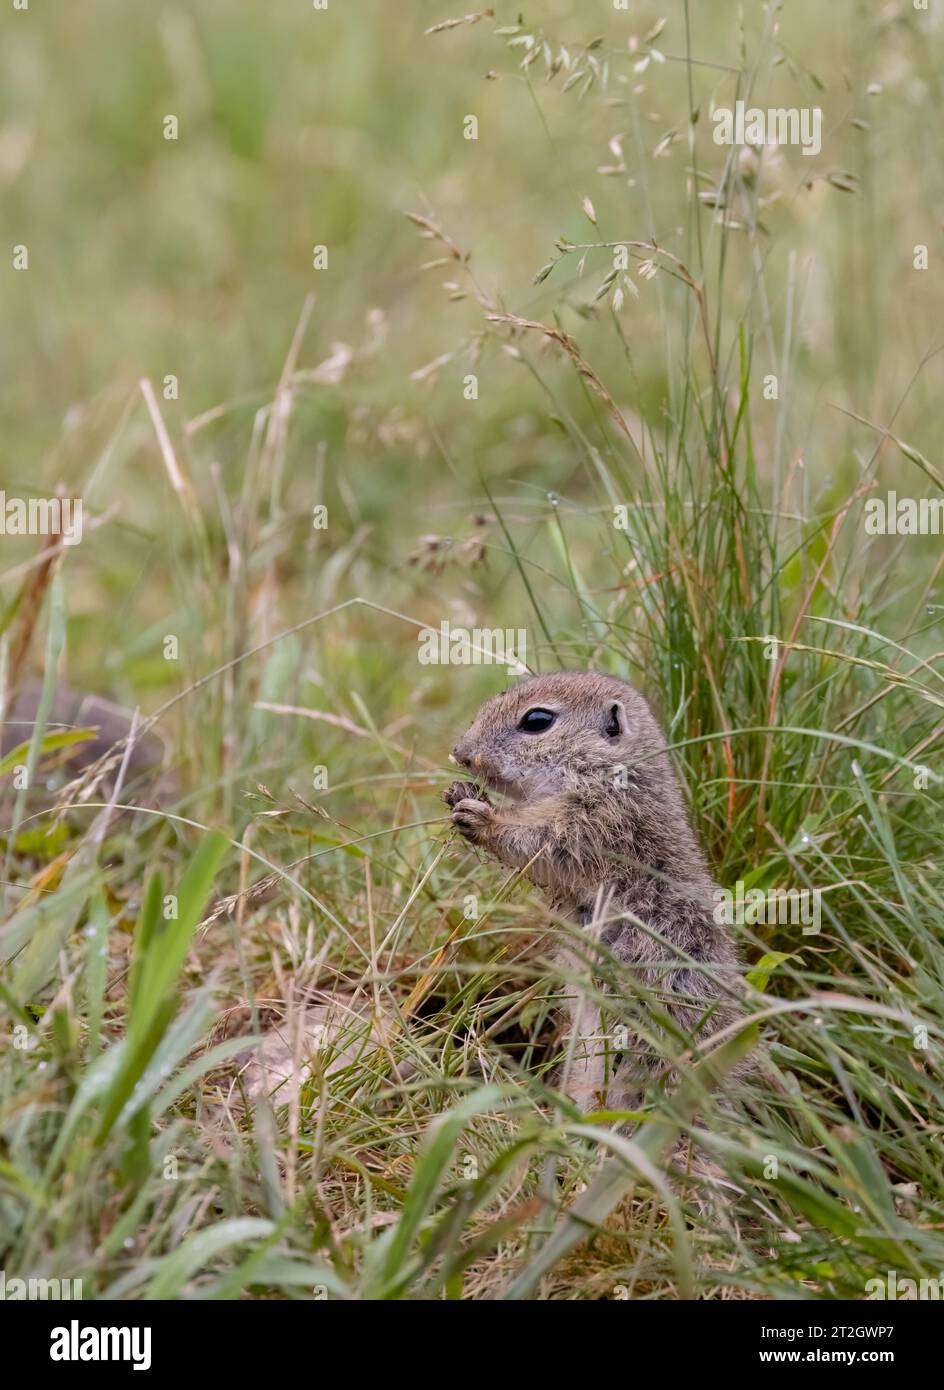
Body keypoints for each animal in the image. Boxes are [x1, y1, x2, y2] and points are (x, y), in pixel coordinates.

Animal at [444, 671, 745, 1111]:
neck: (614, 771)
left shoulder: (600, 821)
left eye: (537, 721)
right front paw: (457, 793)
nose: (461, 753)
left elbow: (540, 843)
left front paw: (483, 818)